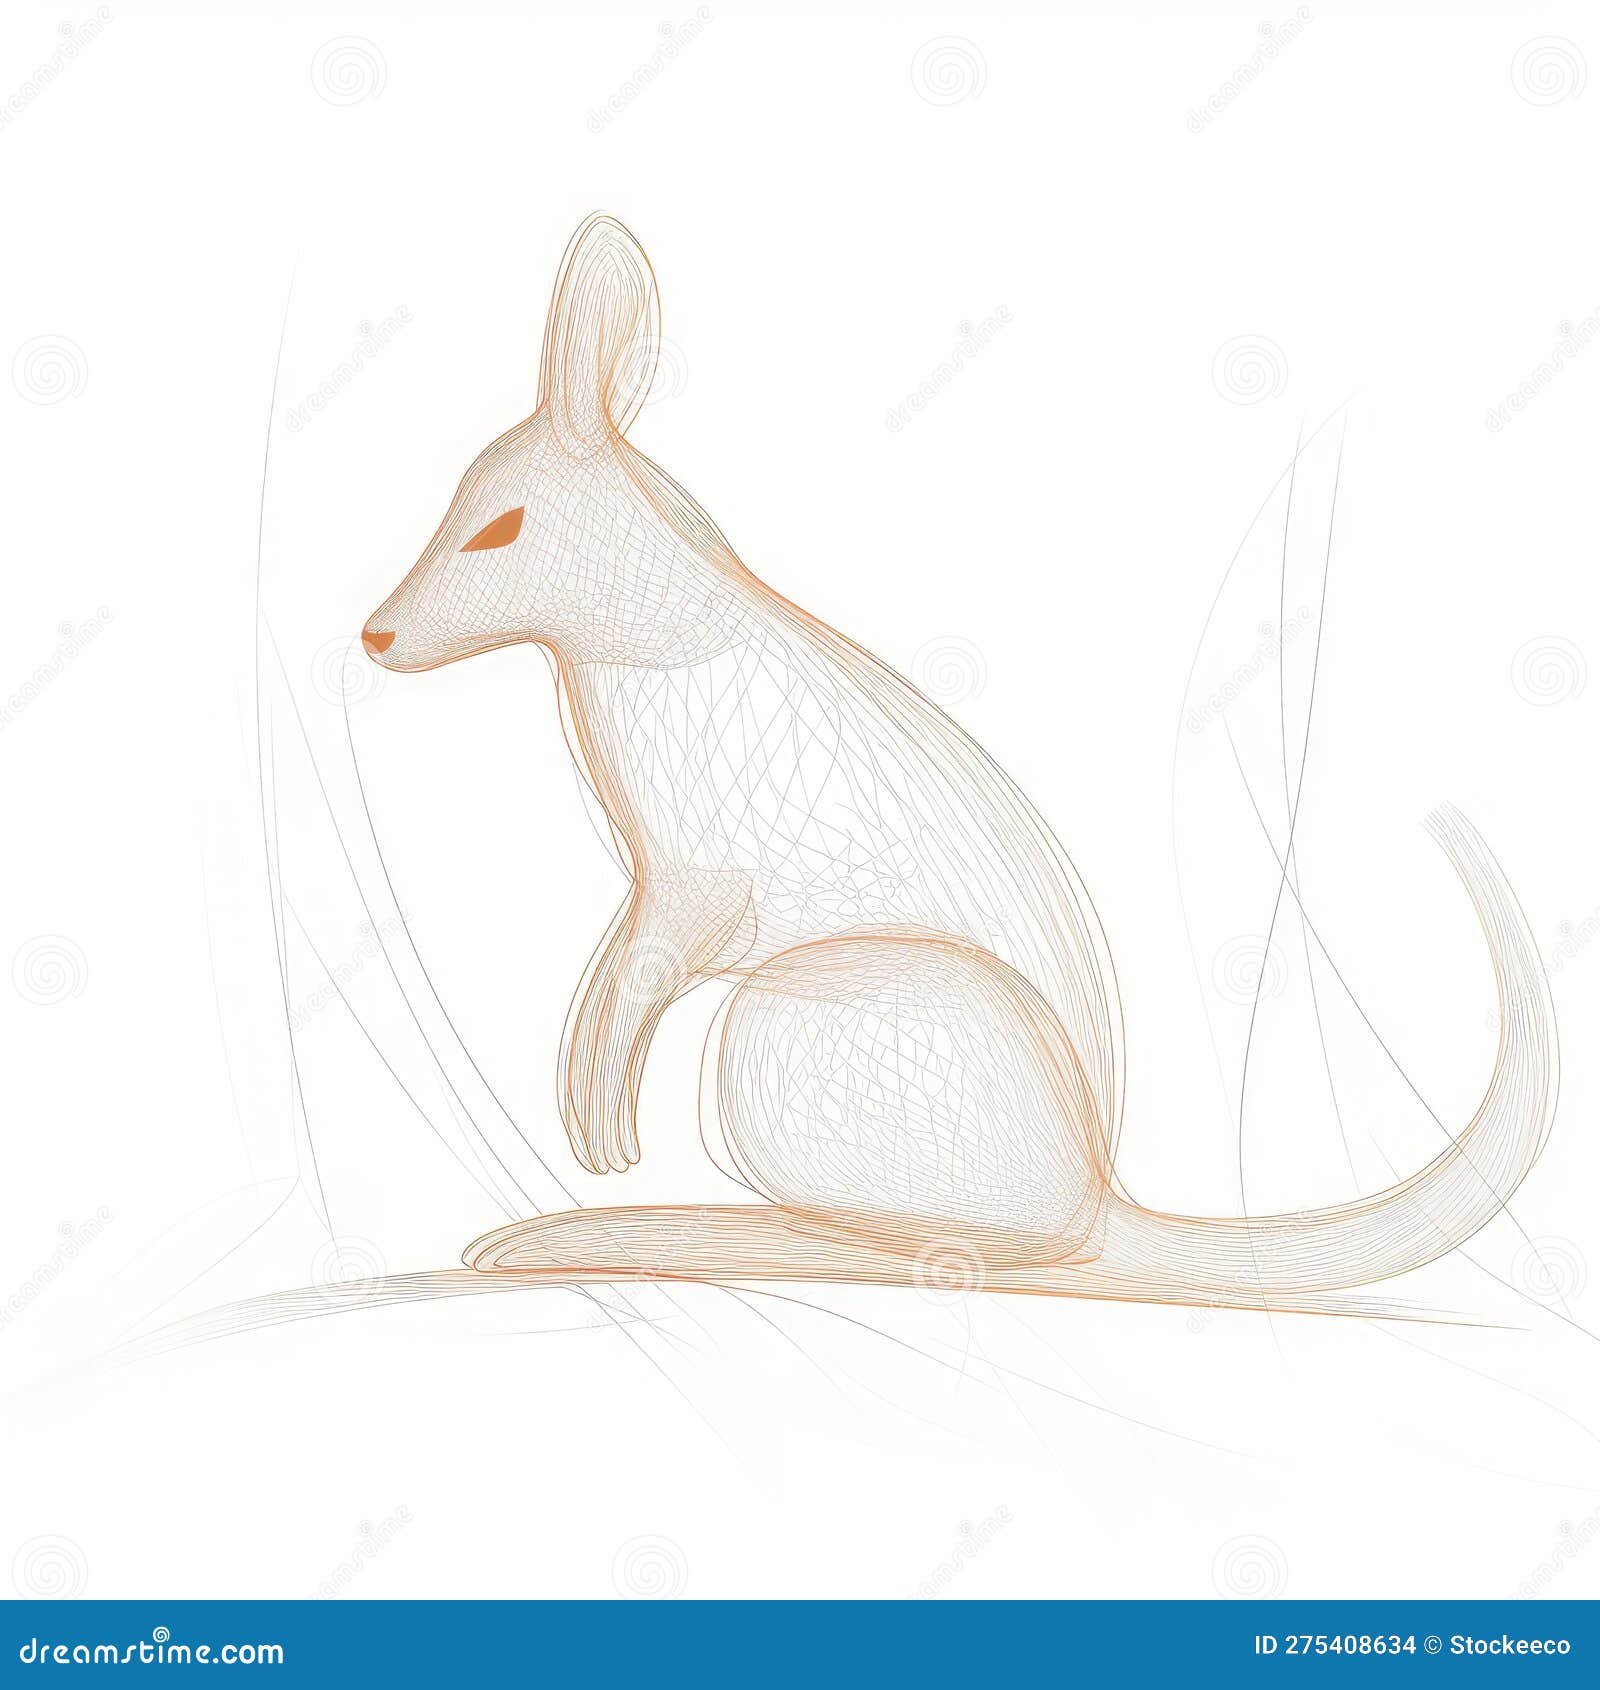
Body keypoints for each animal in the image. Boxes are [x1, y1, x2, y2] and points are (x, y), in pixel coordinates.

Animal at [360, 213, 1556, 1312]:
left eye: (500, 529)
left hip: (783, 1025)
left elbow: (632, 979)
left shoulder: (692, 886)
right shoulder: (659, 886)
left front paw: (596, 1136)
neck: (658, 622)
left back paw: (646, 1230)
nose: (374, 638)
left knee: (957, 1251)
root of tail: (1098, 1204)